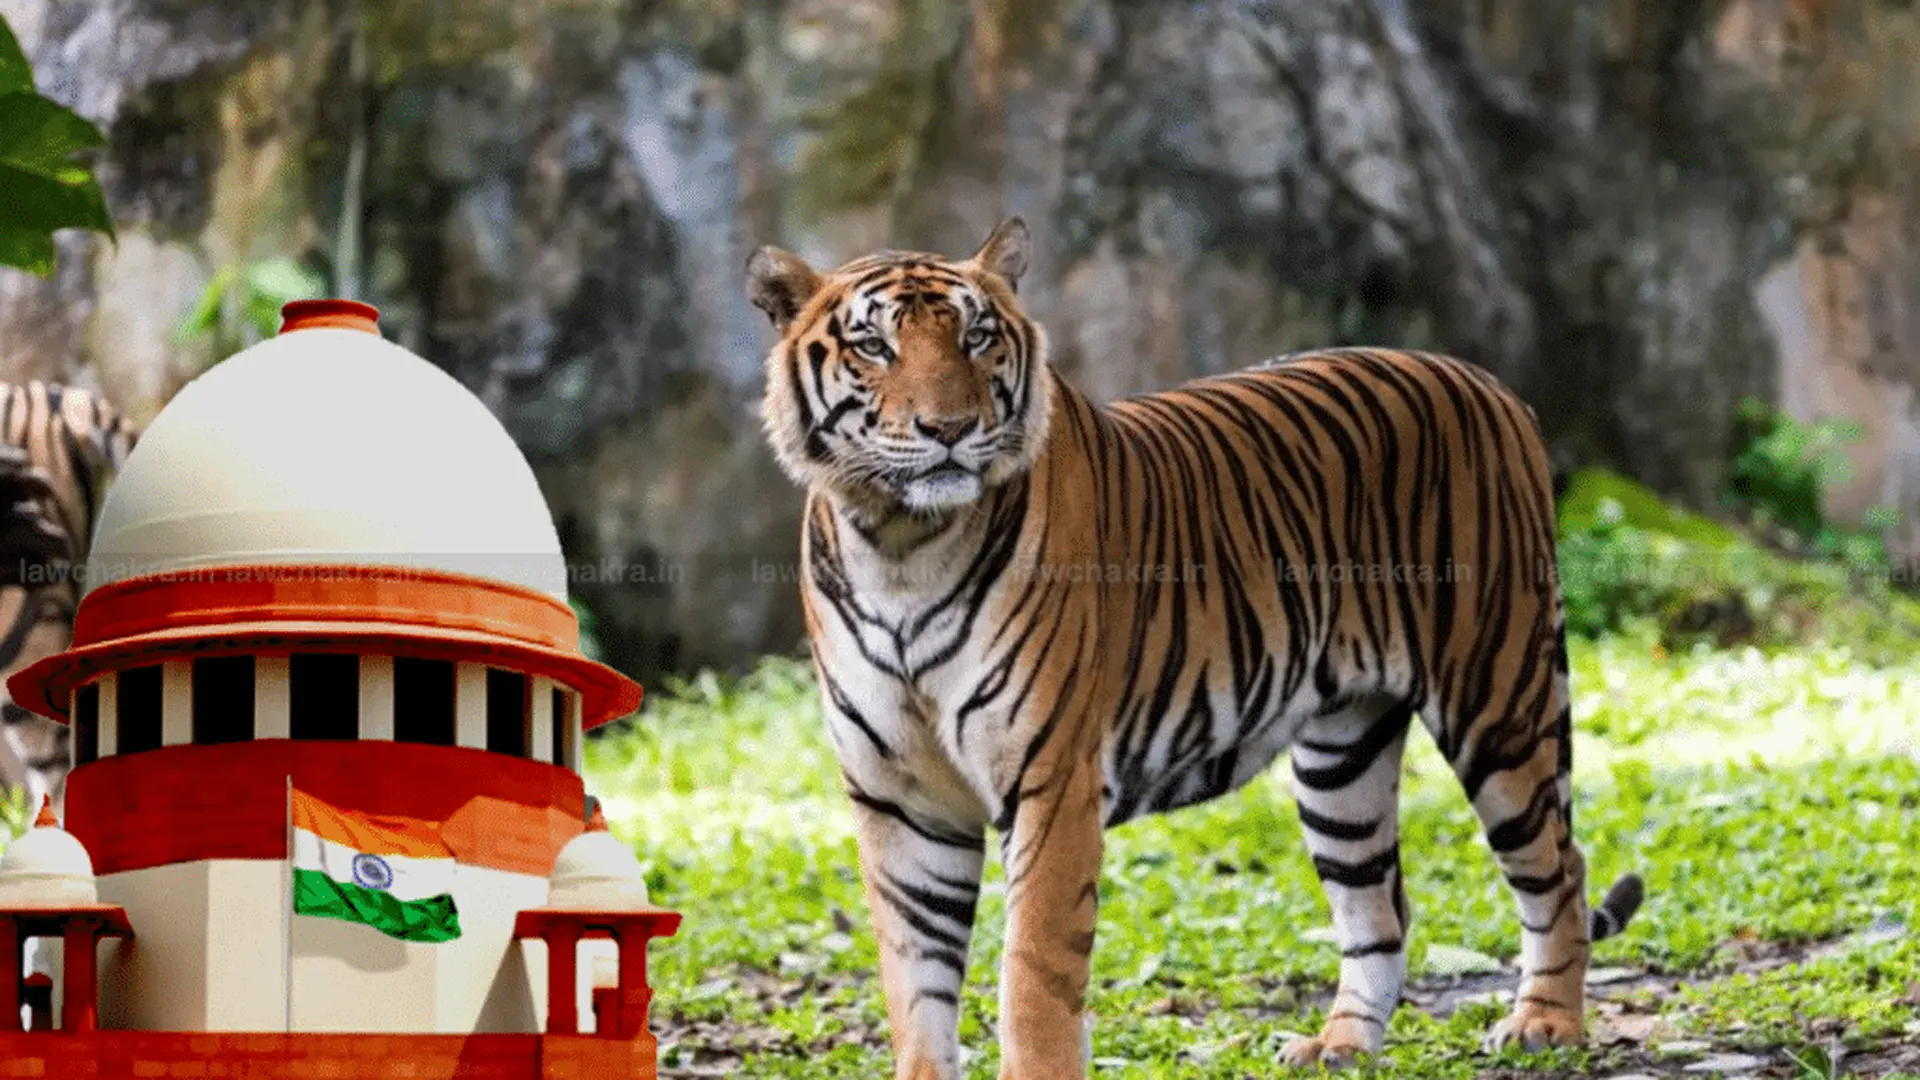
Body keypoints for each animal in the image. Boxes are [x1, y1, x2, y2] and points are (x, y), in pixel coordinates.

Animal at [745, 218, 1646, 1079]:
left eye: (977, 338)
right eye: (874, 347)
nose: (951, 430)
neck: (899, 545)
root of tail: (1490, 384)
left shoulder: (1050, 780)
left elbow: (1033, 973)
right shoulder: (901, 801)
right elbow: (916, 984)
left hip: (1499, 699)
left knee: (1560, 868)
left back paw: (1545, 1025)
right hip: (1343, 759)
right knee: (1380, 910)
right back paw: (1341, 1046)